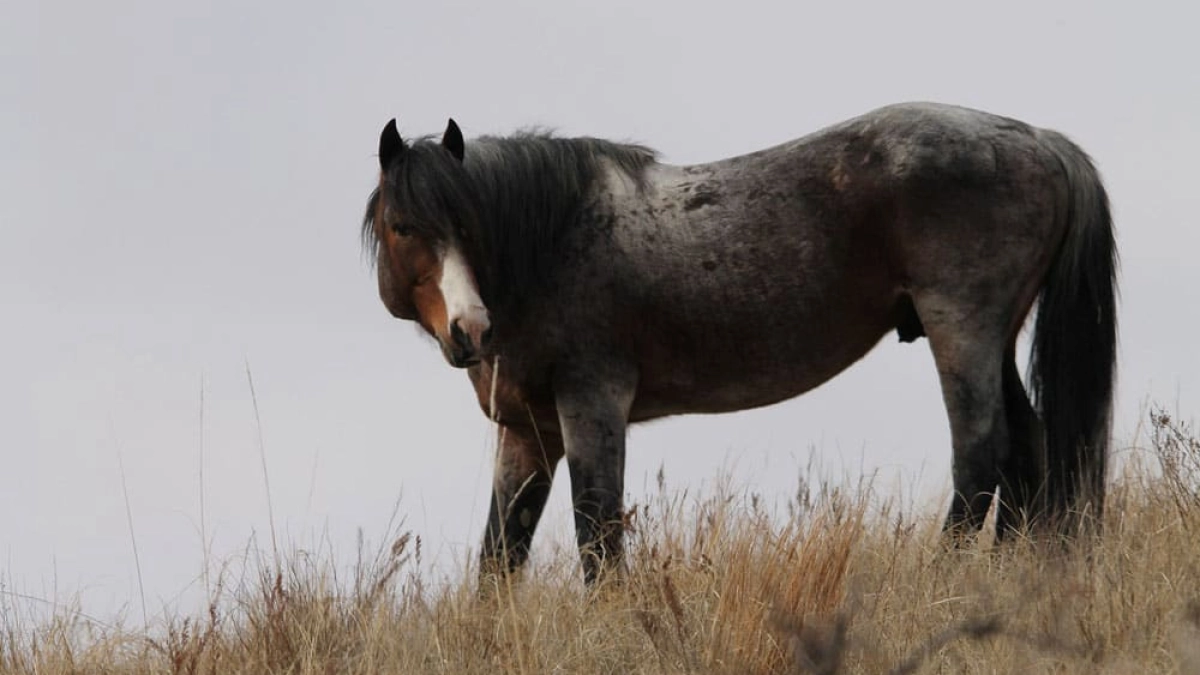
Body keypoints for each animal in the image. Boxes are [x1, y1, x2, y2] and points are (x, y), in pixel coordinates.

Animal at [361, 103, 1117, 584]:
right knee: (1028, 453)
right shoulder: (528, 431)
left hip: (961, 326)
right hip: (994, 338)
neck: (549, 245)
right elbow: (499, 553)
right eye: (404, 226)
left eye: (468, 224)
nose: (471, 329)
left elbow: (597, 534)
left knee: (981, 457)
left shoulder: (592, 404)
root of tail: (1041, 140)